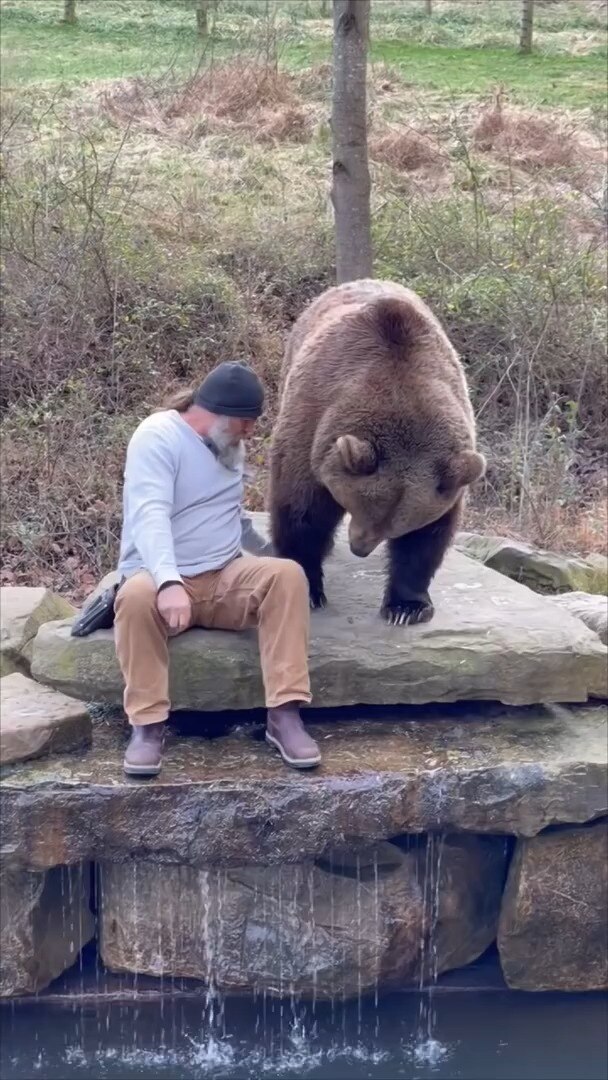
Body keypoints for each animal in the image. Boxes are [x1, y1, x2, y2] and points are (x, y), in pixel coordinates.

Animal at [268, 279, 486, 625]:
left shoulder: (446, 471)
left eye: (397, 525)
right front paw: (309, 586)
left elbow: (428, 538)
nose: (360, 546)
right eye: (359, 504)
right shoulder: (313, 422)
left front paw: (407, 607)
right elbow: (302, 509)